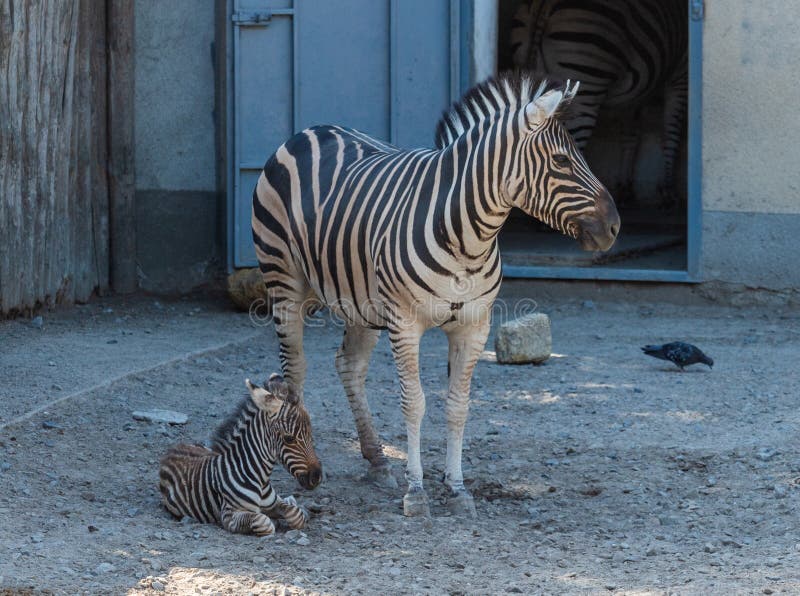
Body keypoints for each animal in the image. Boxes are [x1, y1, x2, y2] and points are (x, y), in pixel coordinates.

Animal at [159, 374, 322, 536]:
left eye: (311, 435)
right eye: (289, 439)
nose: (316, 477)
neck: (260, 478)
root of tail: (175, 447)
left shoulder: (274, 503)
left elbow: (295, 515)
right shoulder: (229, 515)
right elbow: (264, 522)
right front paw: (271, 521)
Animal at [252, 72, 619, 517]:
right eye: (562, 162)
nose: (615, 227)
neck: (469, 239)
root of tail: (309, 130)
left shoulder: (473, 326)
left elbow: (458, 405)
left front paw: (457, 488)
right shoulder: (405, 323)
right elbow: (415, 402)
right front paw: (417, 491)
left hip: (362, 301)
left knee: (349, 365)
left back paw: (377, 459)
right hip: (283, 279)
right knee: (295, 369)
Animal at [510, 0, 688, 204]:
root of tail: (544, 5)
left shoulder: (635, 94)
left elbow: (631, 134)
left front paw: (625, 187)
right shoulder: (681, 72)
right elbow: (672, 129)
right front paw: (667, 189)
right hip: (585, 81)